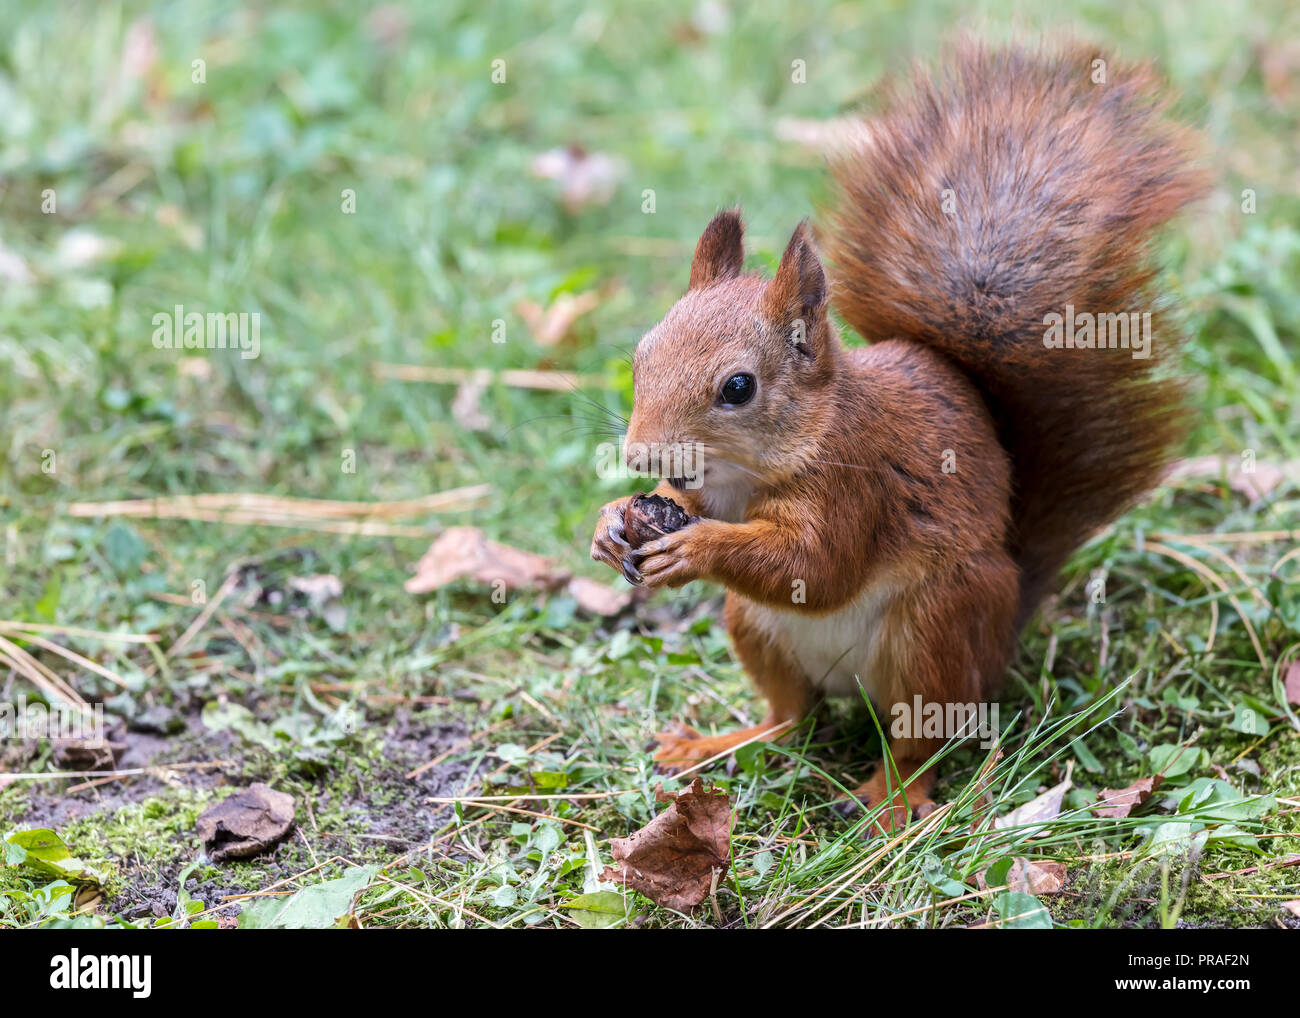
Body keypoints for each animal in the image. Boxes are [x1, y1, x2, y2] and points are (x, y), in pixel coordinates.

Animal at [590, 41, 1207, 832]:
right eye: (641, 354)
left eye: (738, 388)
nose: (642, 455)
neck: (750, 473)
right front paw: (613, 523)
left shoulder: (858, 483)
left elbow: (818, 567)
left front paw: (695, 549)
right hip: (755, 629)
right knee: (792, 717)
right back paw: (718, 743)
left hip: (936, 631)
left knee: (923, 741)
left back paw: (891, 800)